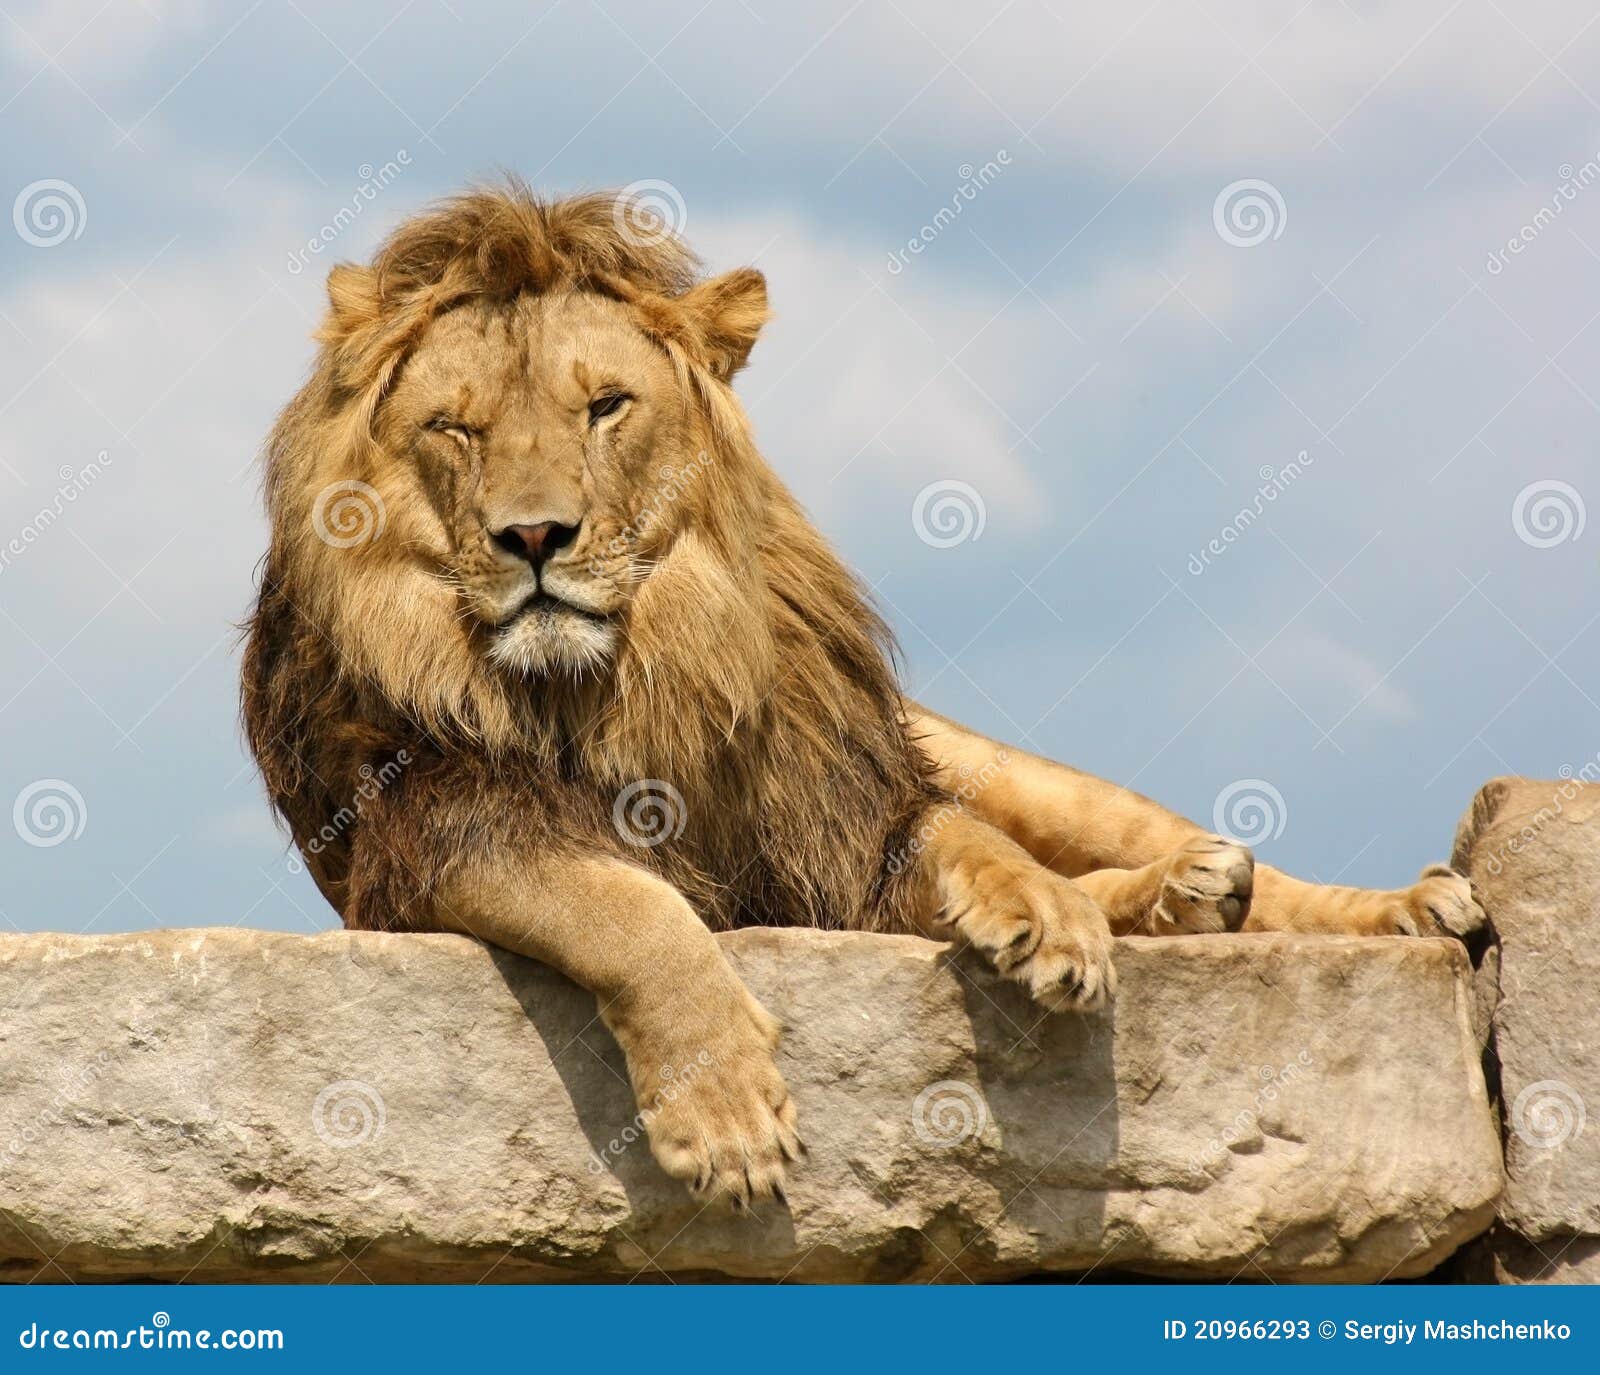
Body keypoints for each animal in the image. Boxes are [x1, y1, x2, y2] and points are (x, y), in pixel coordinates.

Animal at [242, 181, 1483, 1208]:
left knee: (1155, 842)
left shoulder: (848, 827)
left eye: (604, 407)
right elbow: (625, 908)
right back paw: (1188, 897)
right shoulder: (427, 831)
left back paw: (1373, 902)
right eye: (455, 427)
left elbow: (959, 838)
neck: (628, 677)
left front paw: (1040, 914)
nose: (535, 537)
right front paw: (725, 1115)